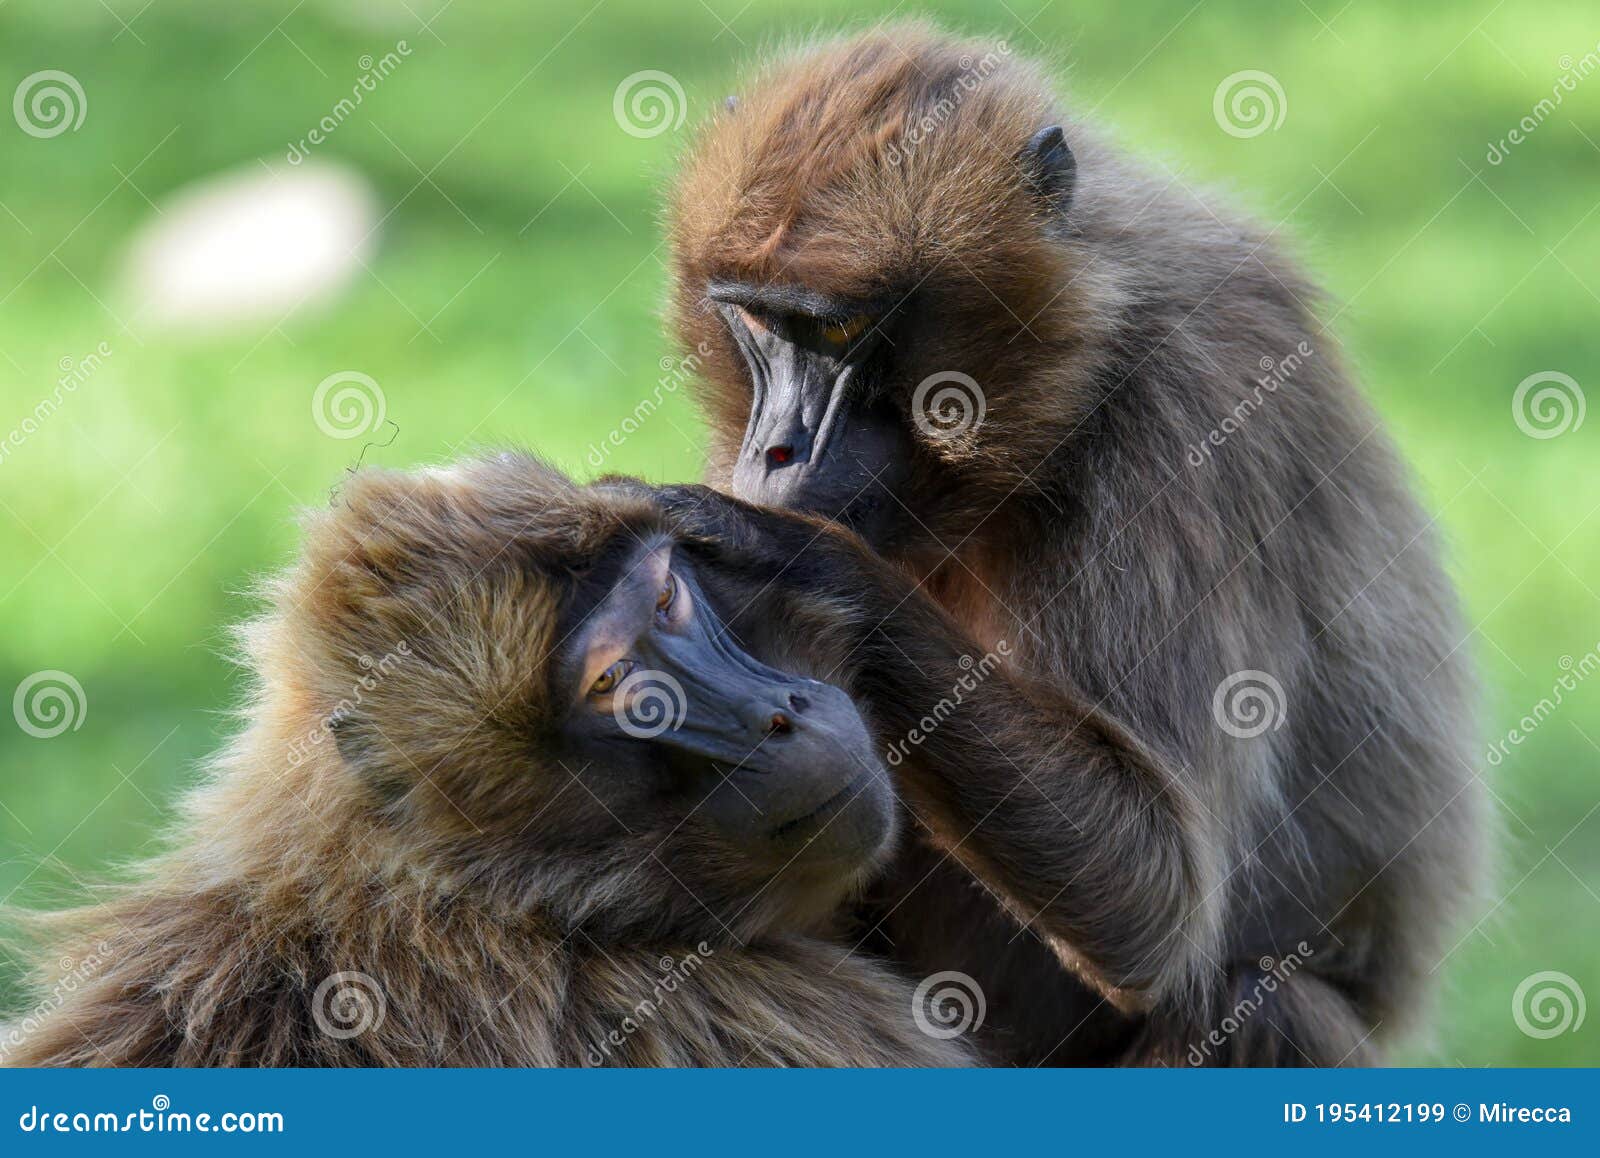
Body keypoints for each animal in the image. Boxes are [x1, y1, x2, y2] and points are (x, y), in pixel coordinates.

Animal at [664, 22, 1485, 1065]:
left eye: (837, 328)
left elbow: (1160, 897)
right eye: (753, 320)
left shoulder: (1193, 408)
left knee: (1255, 1002)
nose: (775, 449)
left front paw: (788, 559)